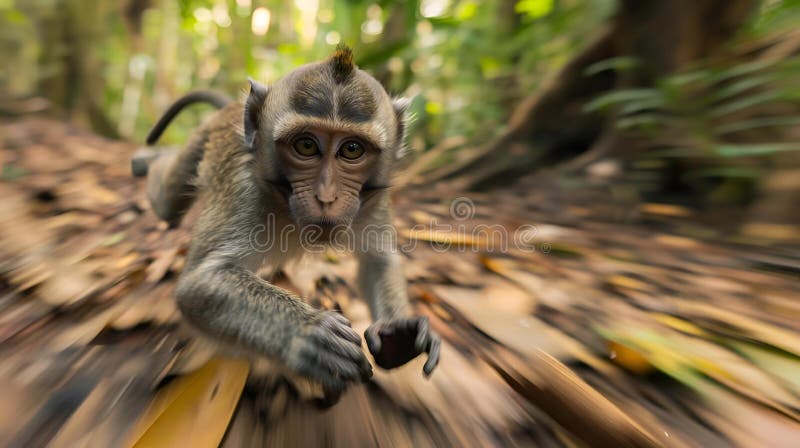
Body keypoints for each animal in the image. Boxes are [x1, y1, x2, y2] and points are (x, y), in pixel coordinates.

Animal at [134, 46, 440, 404]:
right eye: (306, 146)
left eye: (352, 149)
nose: (326, 196)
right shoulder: (245, 192)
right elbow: (200, 284)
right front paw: (309, 335)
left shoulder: (374, 199)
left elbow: (378, 260)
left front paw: (396, 335)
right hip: (201, 139)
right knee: (167, 202)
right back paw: (148, 160)